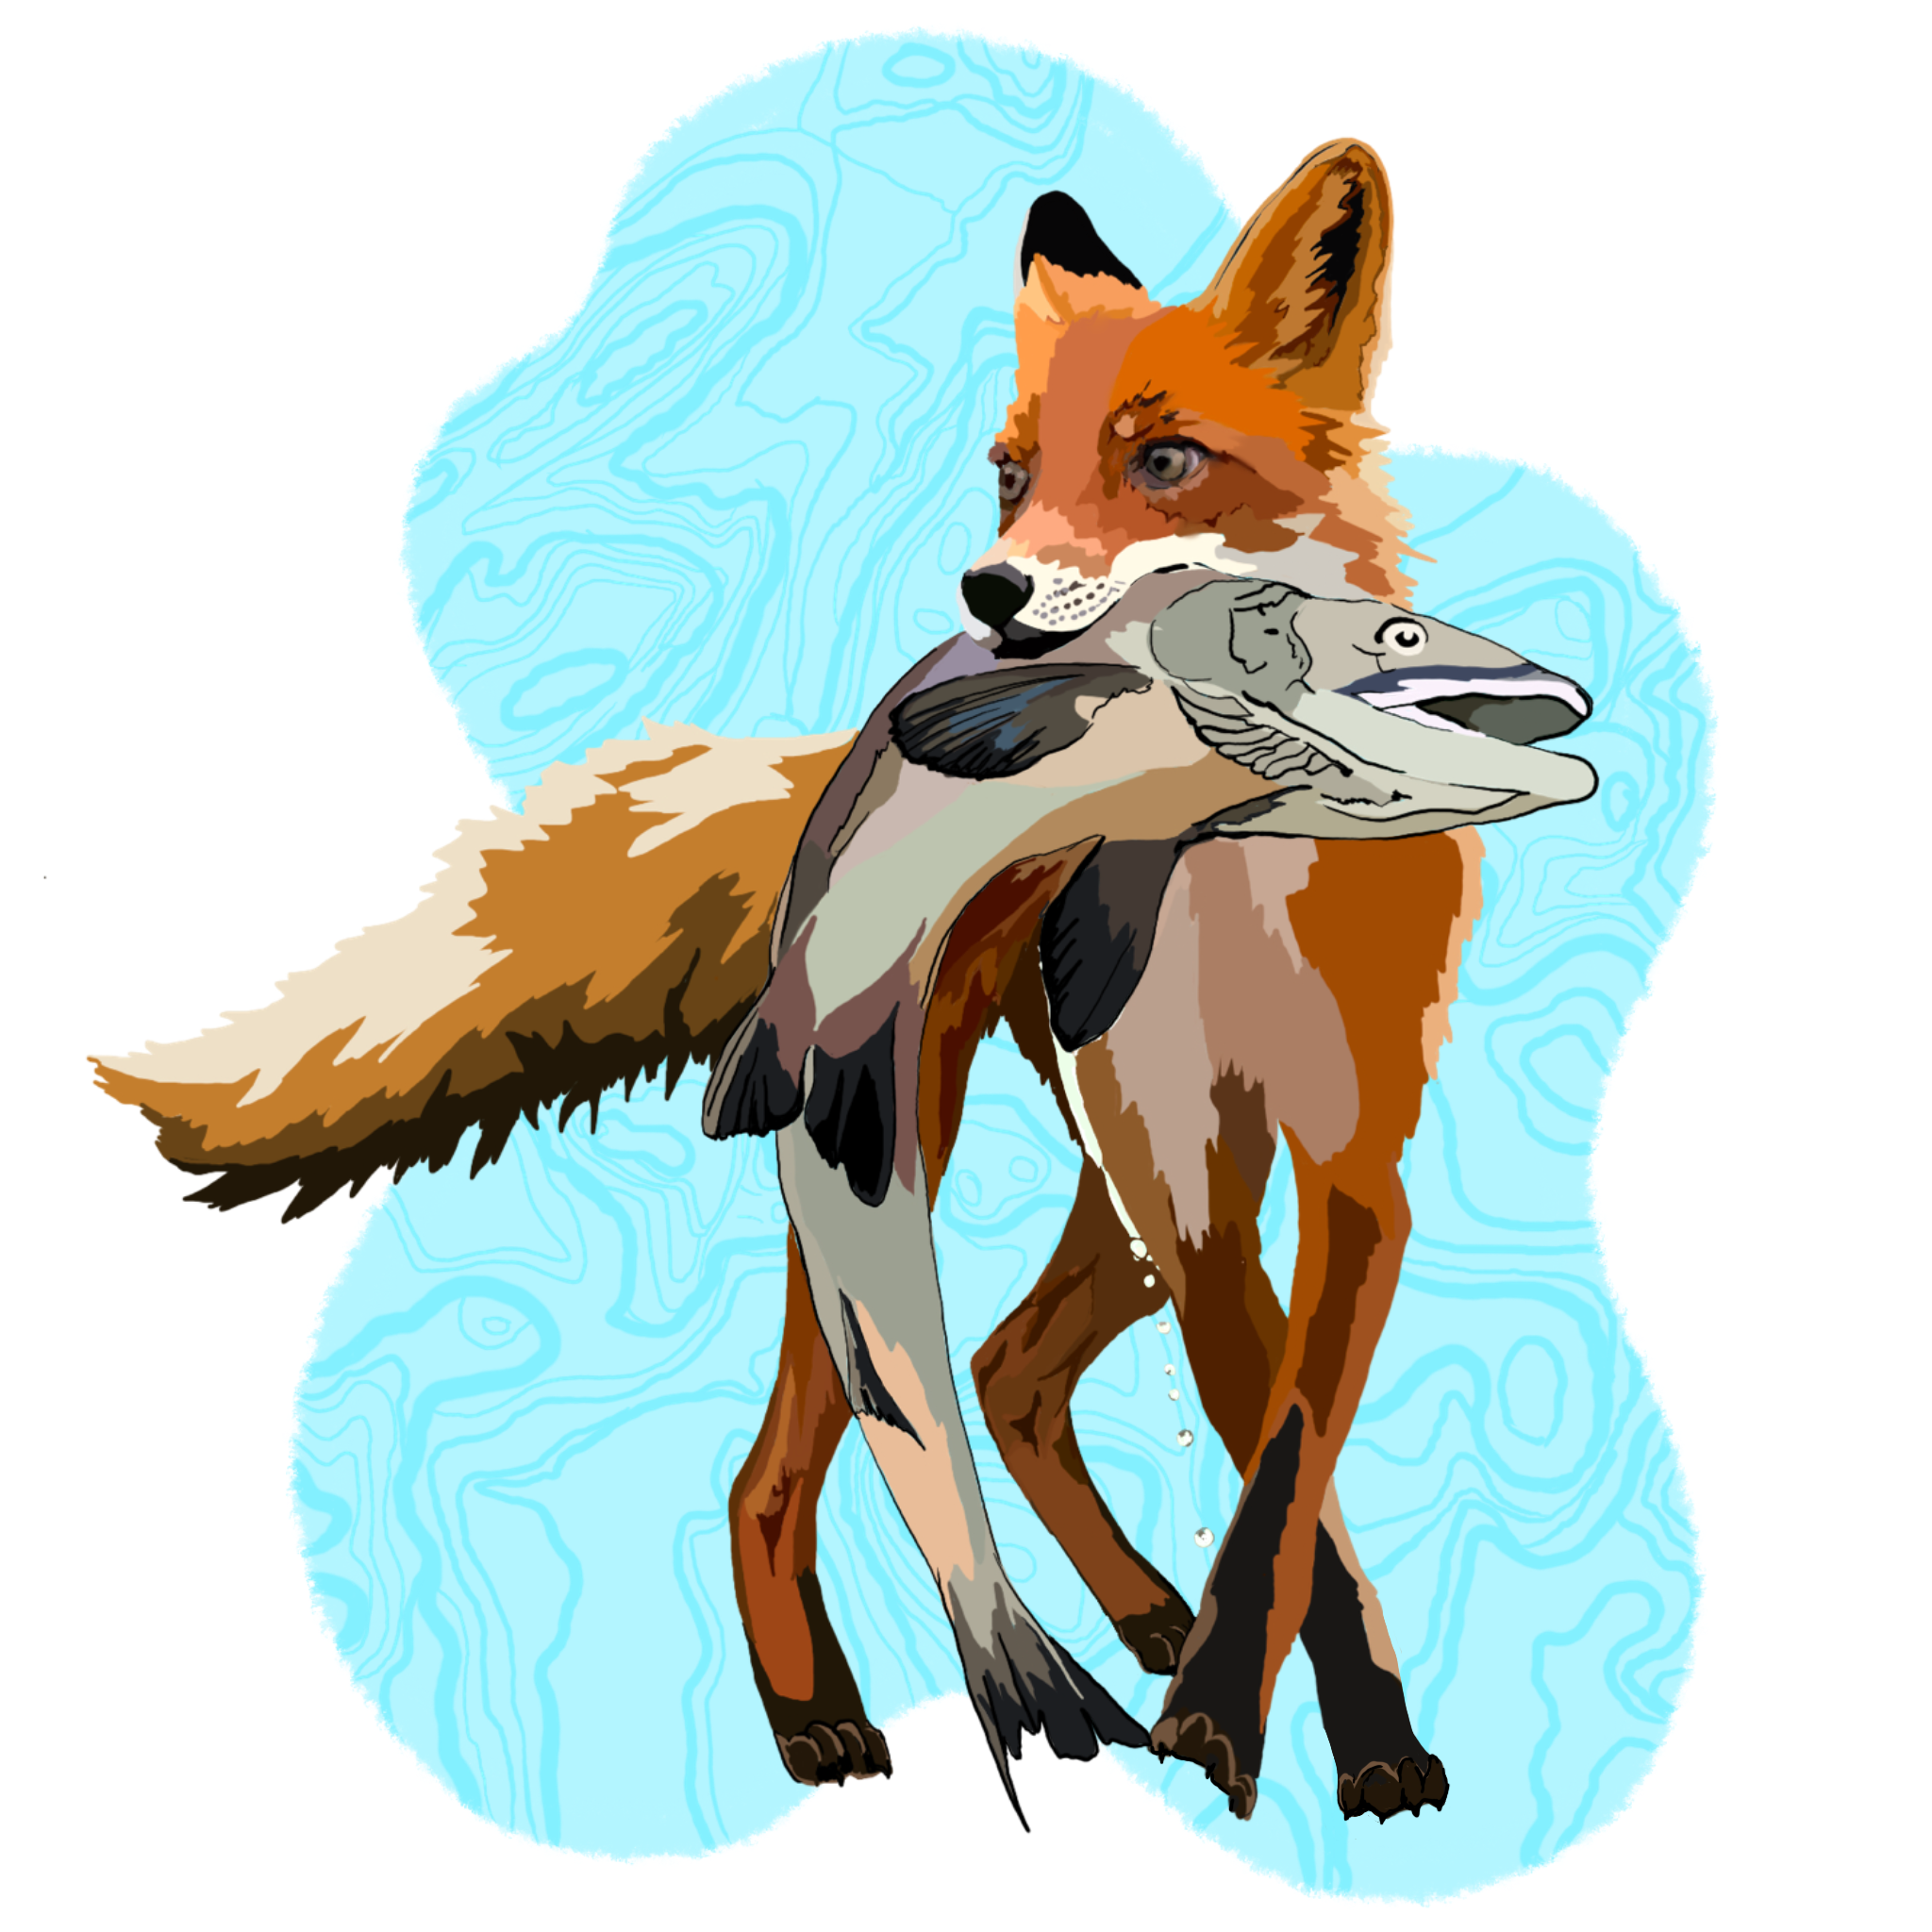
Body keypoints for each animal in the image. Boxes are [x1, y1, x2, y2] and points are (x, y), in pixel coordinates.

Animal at [94, 139, 1531, 1827]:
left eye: (1167, 459)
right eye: (1009, 472)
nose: (987, 595)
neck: (1242, 880)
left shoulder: (1354, 1167)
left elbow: (1293, 1466)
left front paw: (1319, 1727)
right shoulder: (1195, 1179)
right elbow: (1285, 1489)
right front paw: (1254, 1728)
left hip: (1086, 1195)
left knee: (1006, 1373)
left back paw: (1134, 1618)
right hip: (905, 1144)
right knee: (776, 1471)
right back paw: (817, 1713)